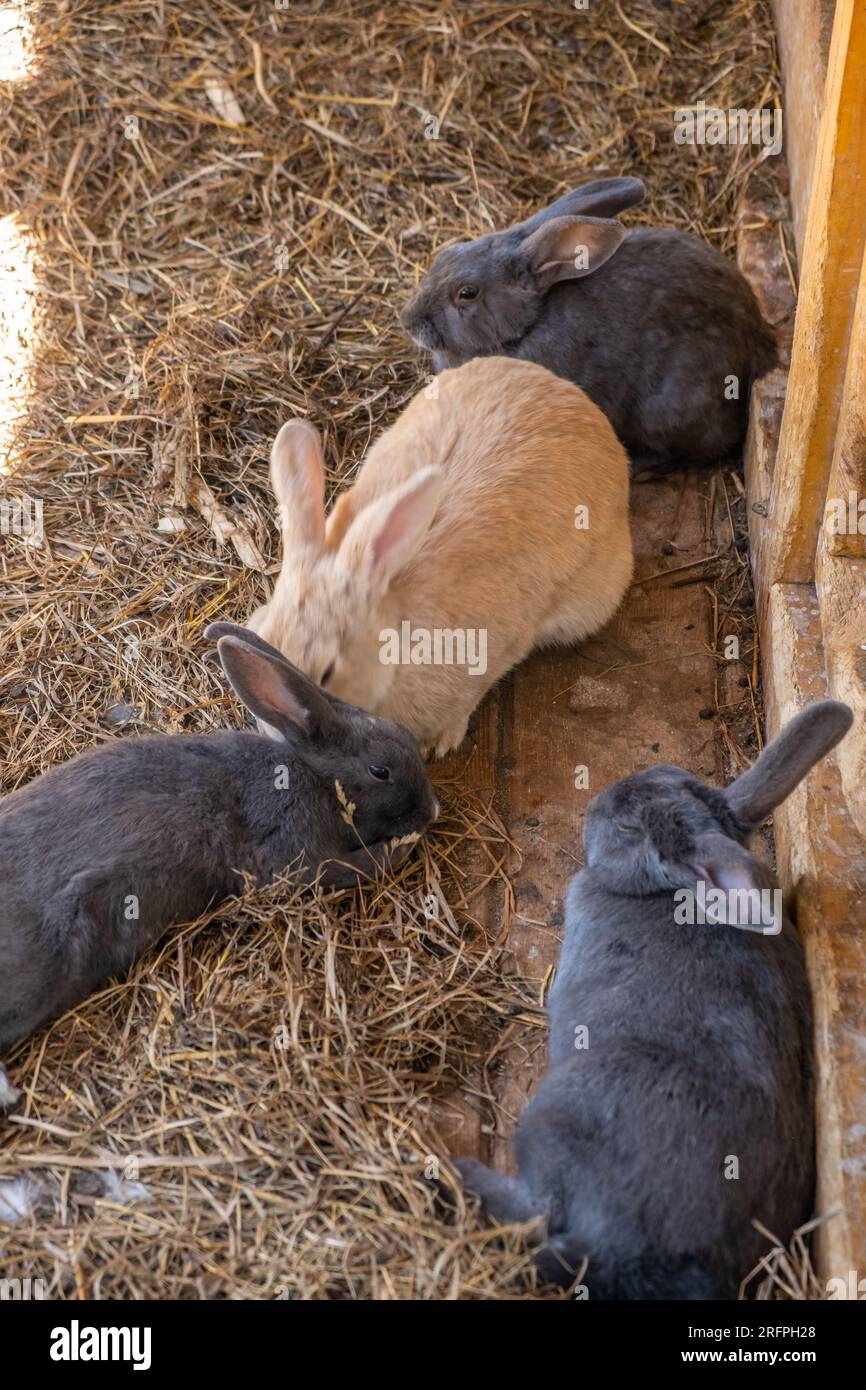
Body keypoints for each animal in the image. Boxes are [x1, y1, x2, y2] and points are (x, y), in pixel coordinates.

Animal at [0, 623, 437, 1101]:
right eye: (380, 771)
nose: (432, 810)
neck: (317, 778)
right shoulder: (295, 854)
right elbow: (354, 867)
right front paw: (401, 848)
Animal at [399, 177, 778, 477]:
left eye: (467, 293)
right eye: (446, 255)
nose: (408, 321)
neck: (526, 326)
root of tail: (760, 347)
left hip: (669, 410)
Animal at [454, 699, 854, 1299]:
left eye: (625, 825)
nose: (596, 802)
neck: (664, 890)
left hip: (555, 1116)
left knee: (536, 1213)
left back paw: (451, 1170)